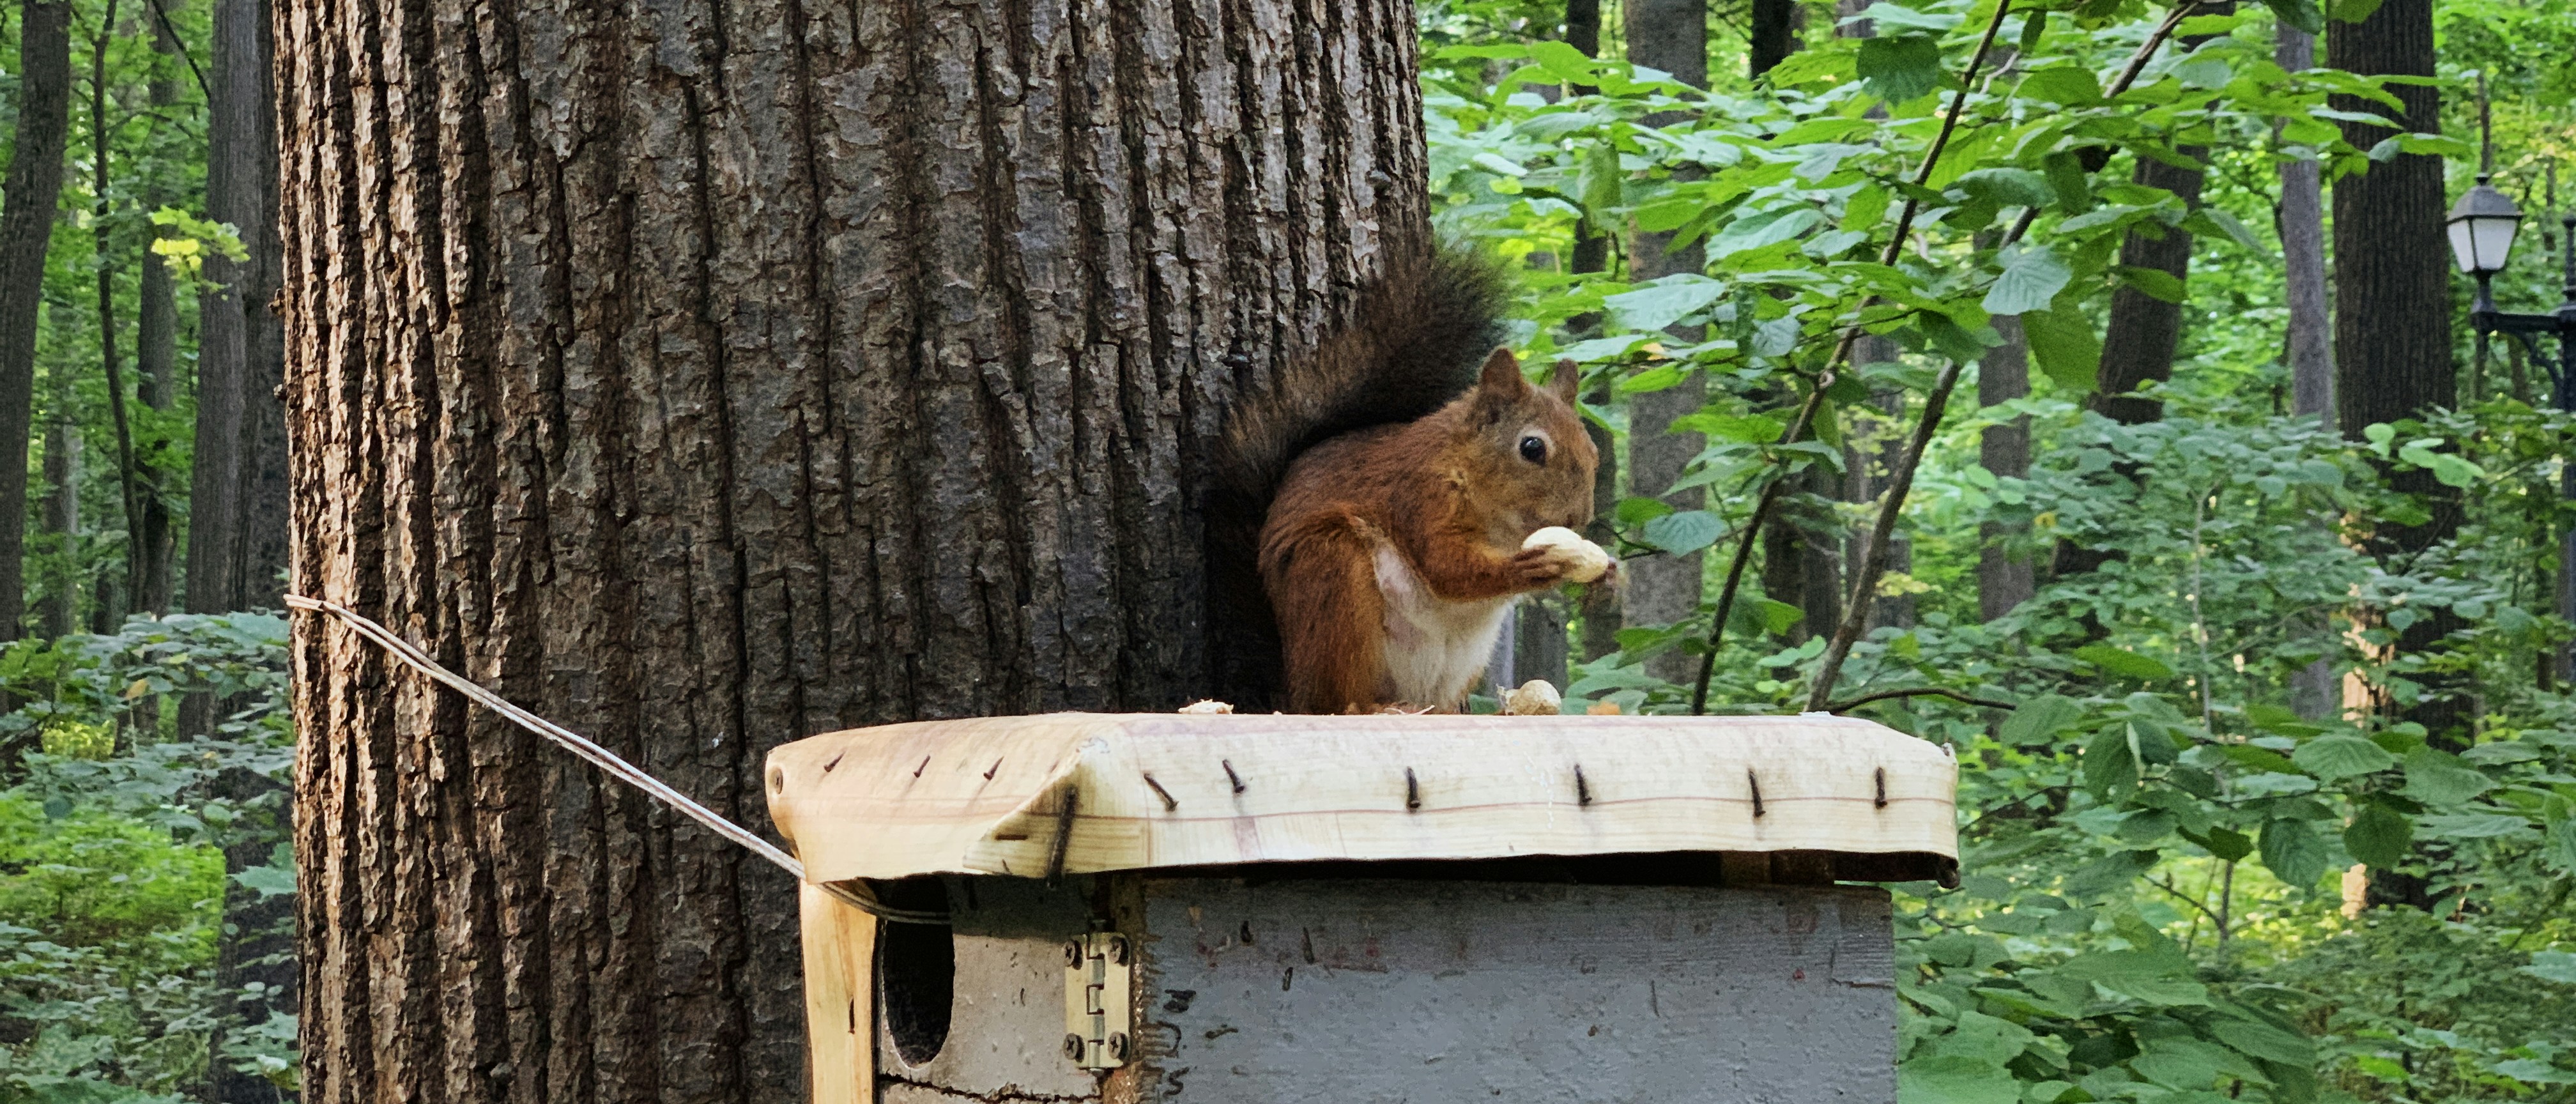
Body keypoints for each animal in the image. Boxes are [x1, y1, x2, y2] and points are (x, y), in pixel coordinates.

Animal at [1212, 250, 1605, 714]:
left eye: (1594, 451)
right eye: (1532, 448)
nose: (1577, 518)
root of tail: (1291, 685)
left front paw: (1604, 578)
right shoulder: (1418, 495)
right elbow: (1446, 566)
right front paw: (1527, 568)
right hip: (1332, 573)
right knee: (1334, 699)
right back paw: (1370, 707)